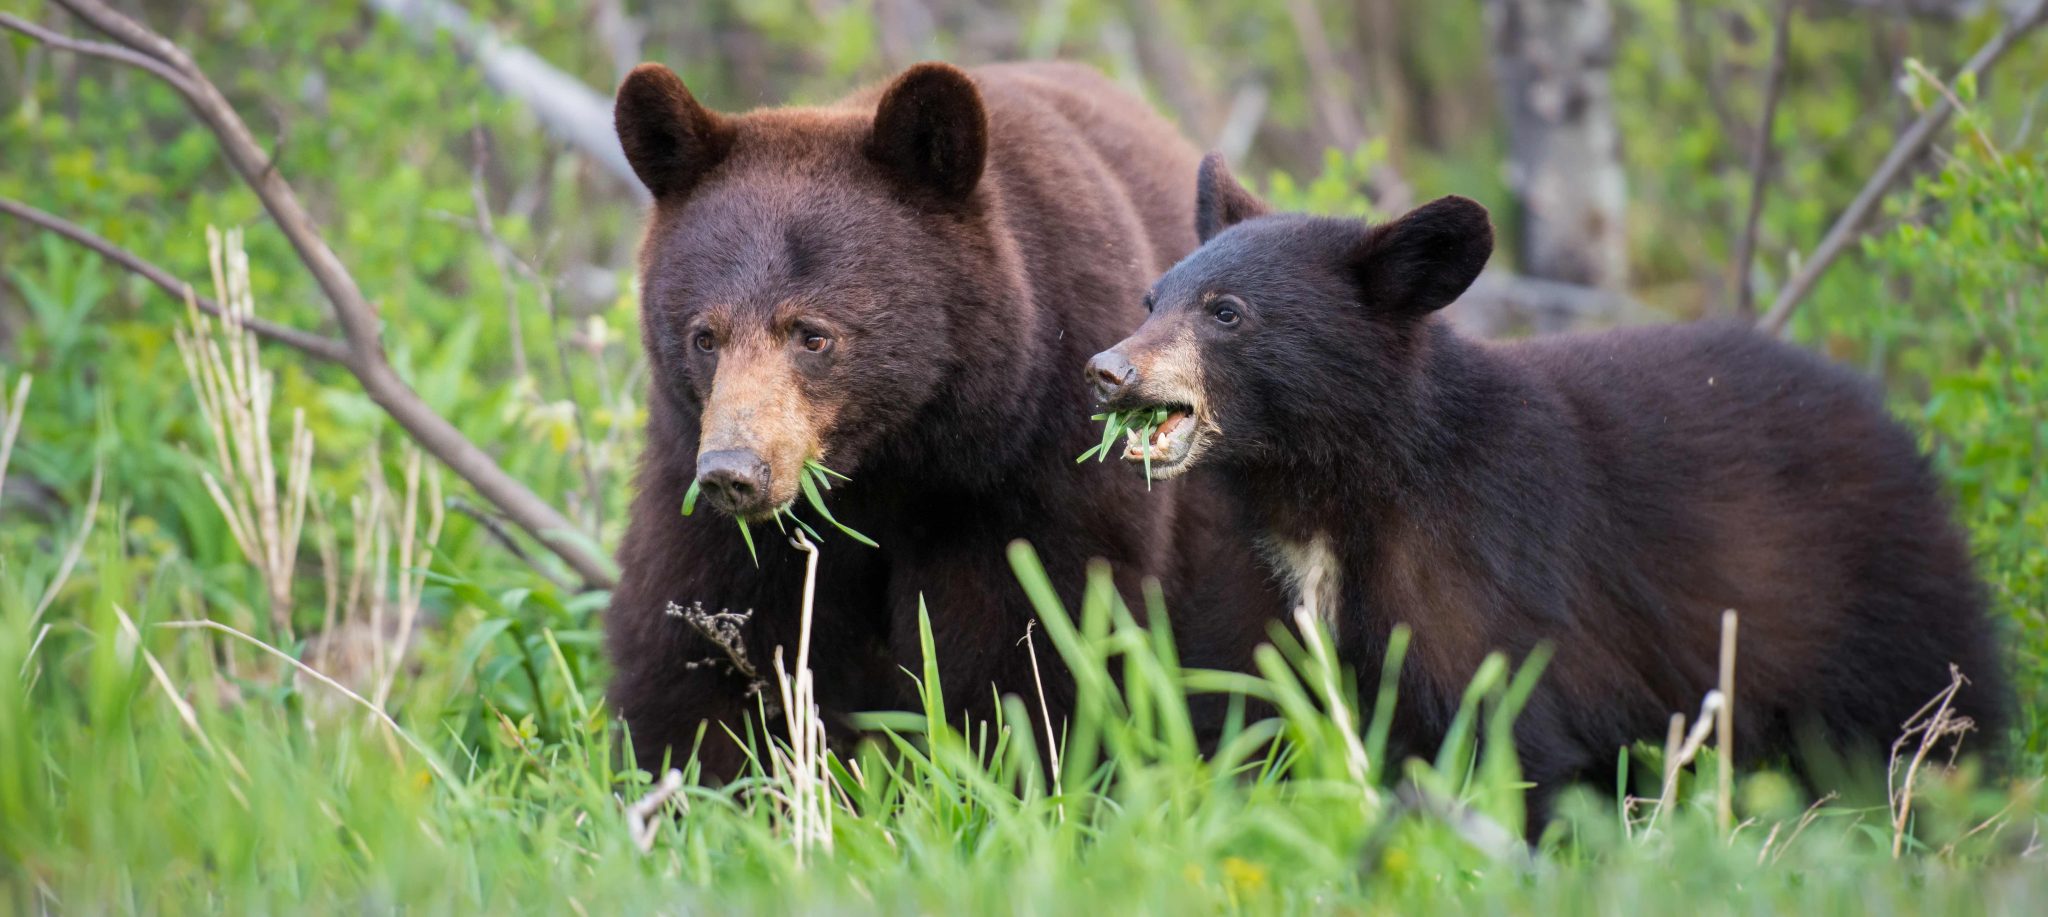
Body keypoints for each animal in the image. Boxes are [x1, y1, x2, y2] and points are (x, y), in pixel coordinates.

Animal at [605, 64, 1284, 778]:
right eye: (704, 338)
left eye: (813, 336)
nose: (734, 473)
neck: (889, 460)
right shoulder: (691, 462)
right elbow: (697, 636)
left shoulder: (1031, 462)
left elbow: (1024, 642)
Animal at [1085, 153, 2010, 831]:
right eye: (1152, 298)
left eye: (1226, 311)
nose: (1107, 369)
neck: (1335, 490)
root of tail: (1895, 427)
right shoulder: (1262, 579)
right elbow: (1239, 712)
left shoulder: (1486, 568)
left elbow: (1507, 737)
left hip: (1879, 609)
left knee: (1931, 730)